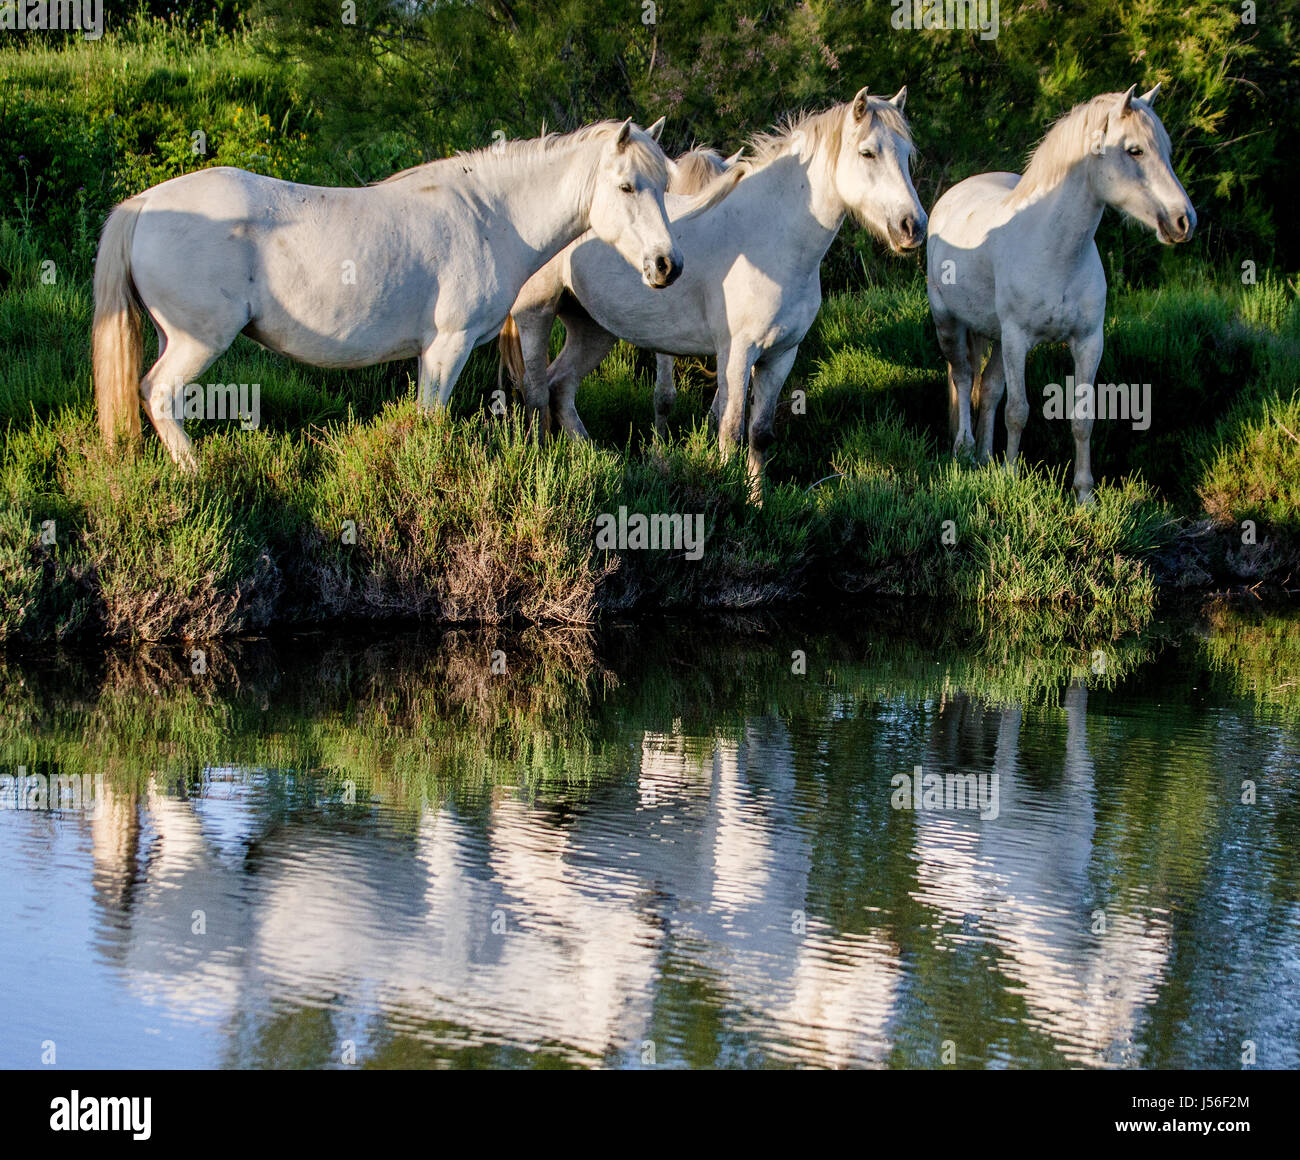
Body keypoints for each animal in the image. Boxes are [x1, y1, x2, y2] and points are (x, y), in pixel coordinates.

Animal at [91, 118, 735, 469]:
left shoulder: (434, 351)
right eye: (626, 186)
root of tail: (143, 203)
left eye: (664, 186)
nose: (667, 265)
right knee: (158, 393)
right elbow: (430, 420)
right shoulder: (448, 345)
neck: (490, 215)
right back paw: (195, 474)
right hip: (198, 340)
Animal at [498, 88, 926, 498]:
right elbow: (730, 429)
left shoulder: (781, 355)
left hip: (593, 328)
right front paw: (727, 492)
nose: (913, 226)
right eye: (867, 152)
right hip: (537, 316)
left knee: (561, 386)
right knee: (537, 391)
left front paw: (757, 501)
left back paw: (599, 460)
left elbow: (759, 434)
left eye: (907, 155)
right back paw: (542, 461)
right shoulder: (736, 353)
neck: (769, 239)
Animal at [926, 85, 1196, 503]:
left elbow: (1082, 417)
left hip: (994, 336)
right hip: (950, 323)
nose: (1184, 221)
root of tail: (952, 195)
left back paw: (985, 458)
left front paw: (1084, 494)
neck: (1056, 251)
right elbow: (1018, 411)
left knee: (988, 388)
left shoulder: (1087, 342)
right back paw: (965, 449)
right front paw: (1011, 478)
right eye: (1134, 150)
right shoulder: (1018, 339)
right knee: (964, 377)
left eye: (1165, 149)